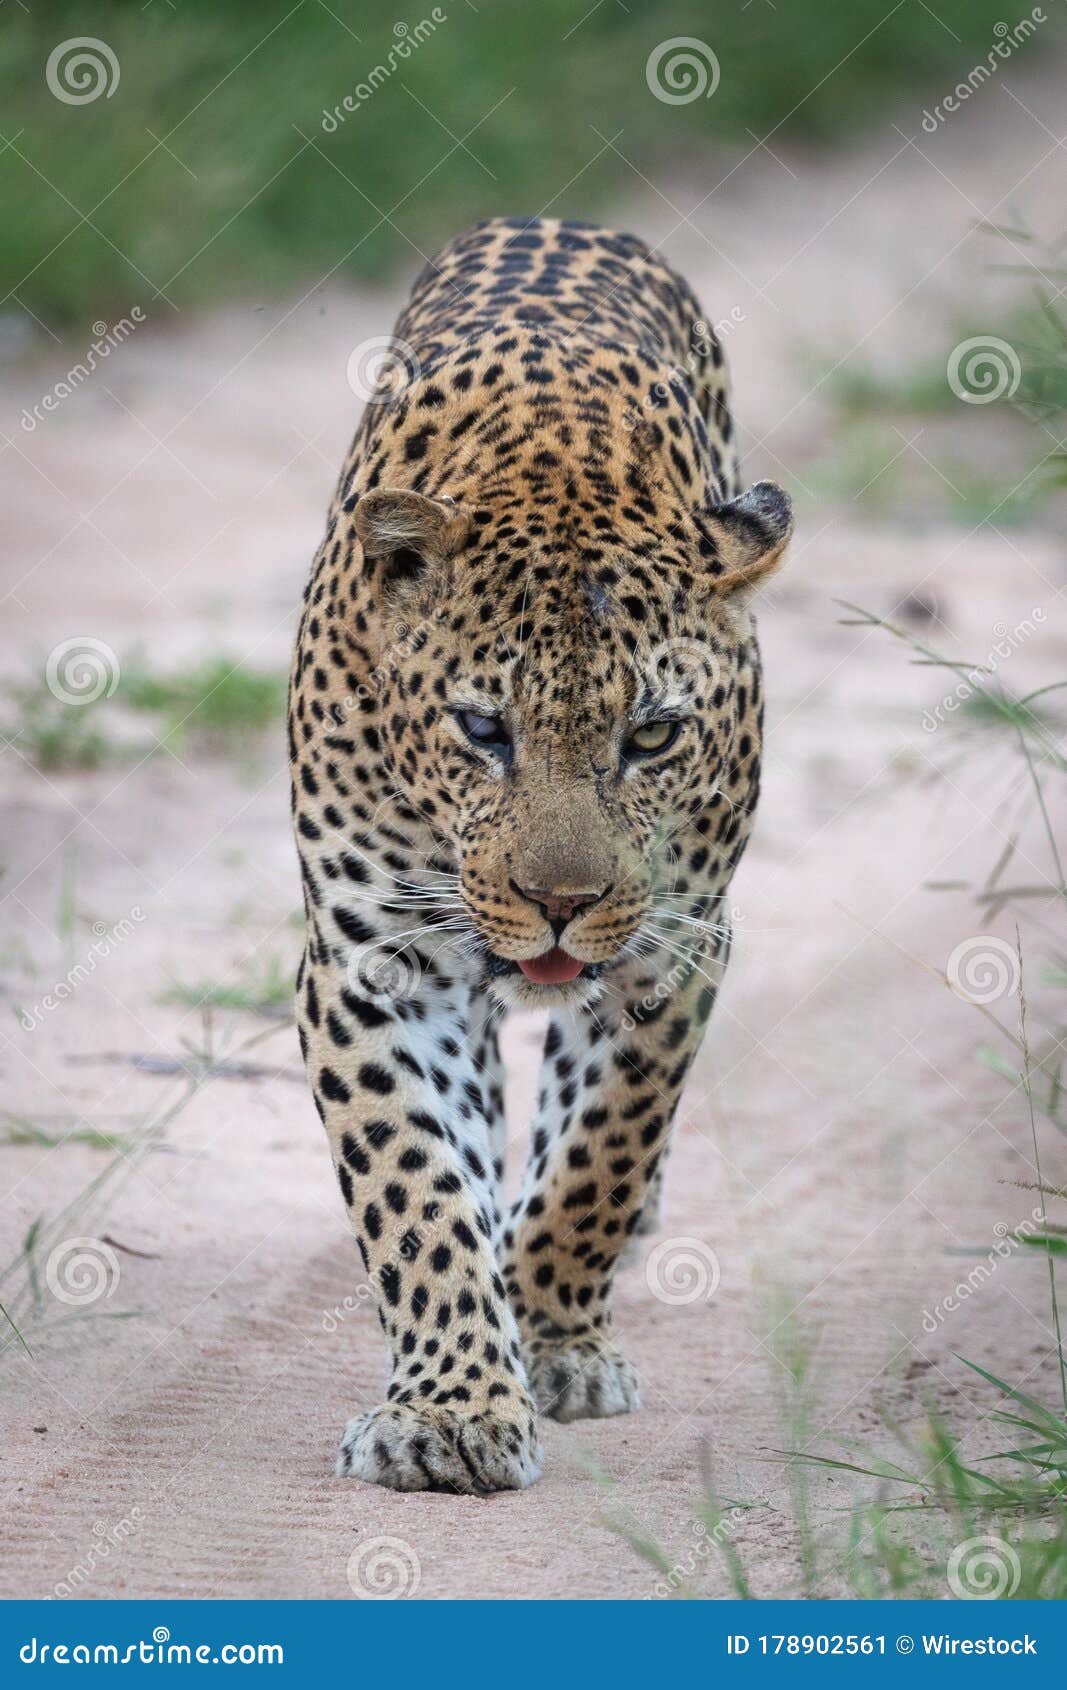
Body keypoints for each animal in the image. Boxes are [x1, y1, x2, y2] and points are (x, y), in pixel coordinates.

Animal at [288, 215, 792, 1494]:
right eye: (482, 731)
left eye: (650, 735)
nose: (558, 903)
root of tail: (563, 221)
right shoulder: (368, 963)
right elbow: (411, 1187)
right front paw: (451, 1404)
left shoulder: (675, 945)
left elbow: (600, 1152)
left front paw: (546, 1329)